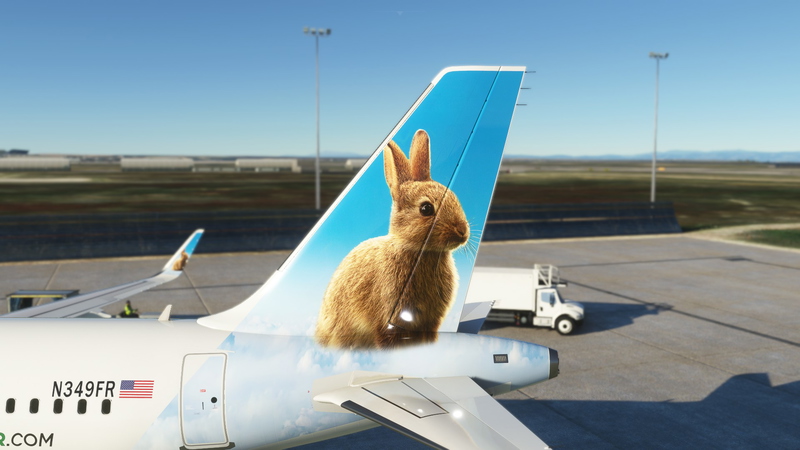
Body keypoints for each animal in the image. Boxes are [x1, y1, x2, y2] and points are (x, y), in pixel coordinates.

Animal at [315, 129, 470, 349]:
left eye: (455, 197)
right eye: (426, 208)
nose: (462, 231)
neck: (420, 252)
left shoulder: (429, 321)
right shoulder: (389, 318)